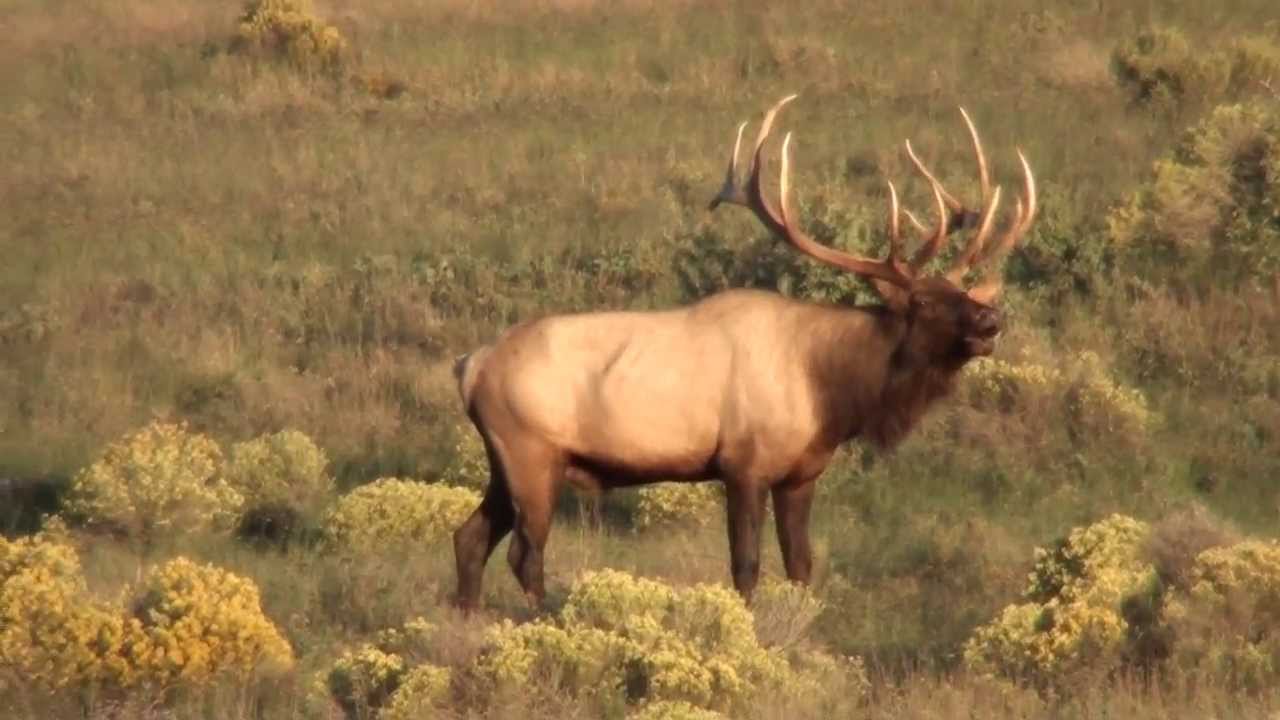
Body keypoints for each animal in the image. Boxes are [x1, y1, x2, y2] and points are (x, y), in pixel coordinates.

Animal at [450, 95, 1037, 611]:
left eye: (964, 292)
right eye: (922, 300)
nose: (991, 320)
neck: (830, 394)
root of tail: (469, 366)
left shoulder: (802, 473)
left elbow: (801, 566)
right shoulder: (743, 464)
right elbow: (746, 567)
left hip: (505, 461)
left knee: (469, 537)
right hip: (531, 453)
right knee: (525, 554)